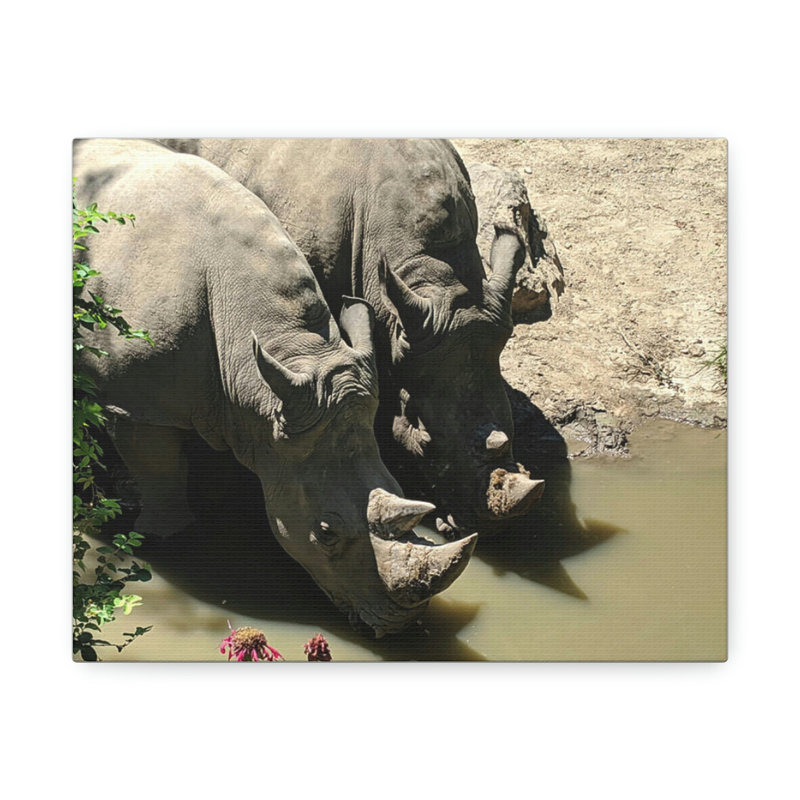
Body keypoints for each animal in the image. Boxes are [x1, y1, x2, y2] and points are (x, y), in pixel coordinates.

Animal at [73, 138, 476, 637]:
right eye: (325, 533)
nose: (402, 624)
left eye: (401, 486)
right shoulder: (135, 402)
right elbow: (160, 472)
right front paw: (168, 537)